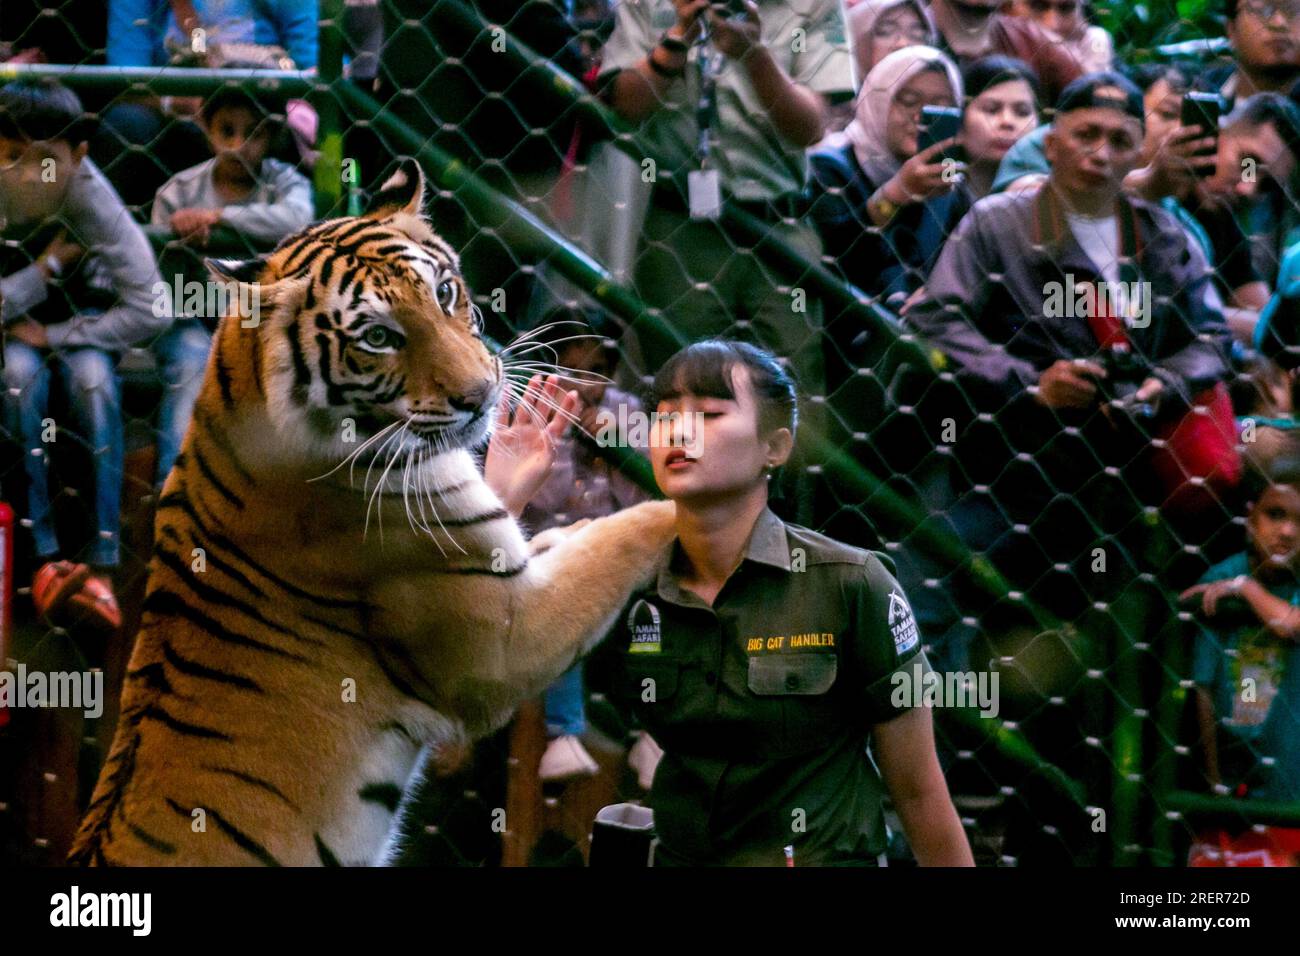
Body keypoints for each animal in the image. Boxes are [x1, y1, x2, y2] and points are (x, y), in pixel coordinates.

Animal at [67, 158, 678, 866]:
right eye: (379, 338)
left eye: (445, 292)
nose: (480, 396)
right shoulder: (502, 634)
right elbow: (624, 537)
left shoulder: (511, 563)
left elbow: (580, 535)